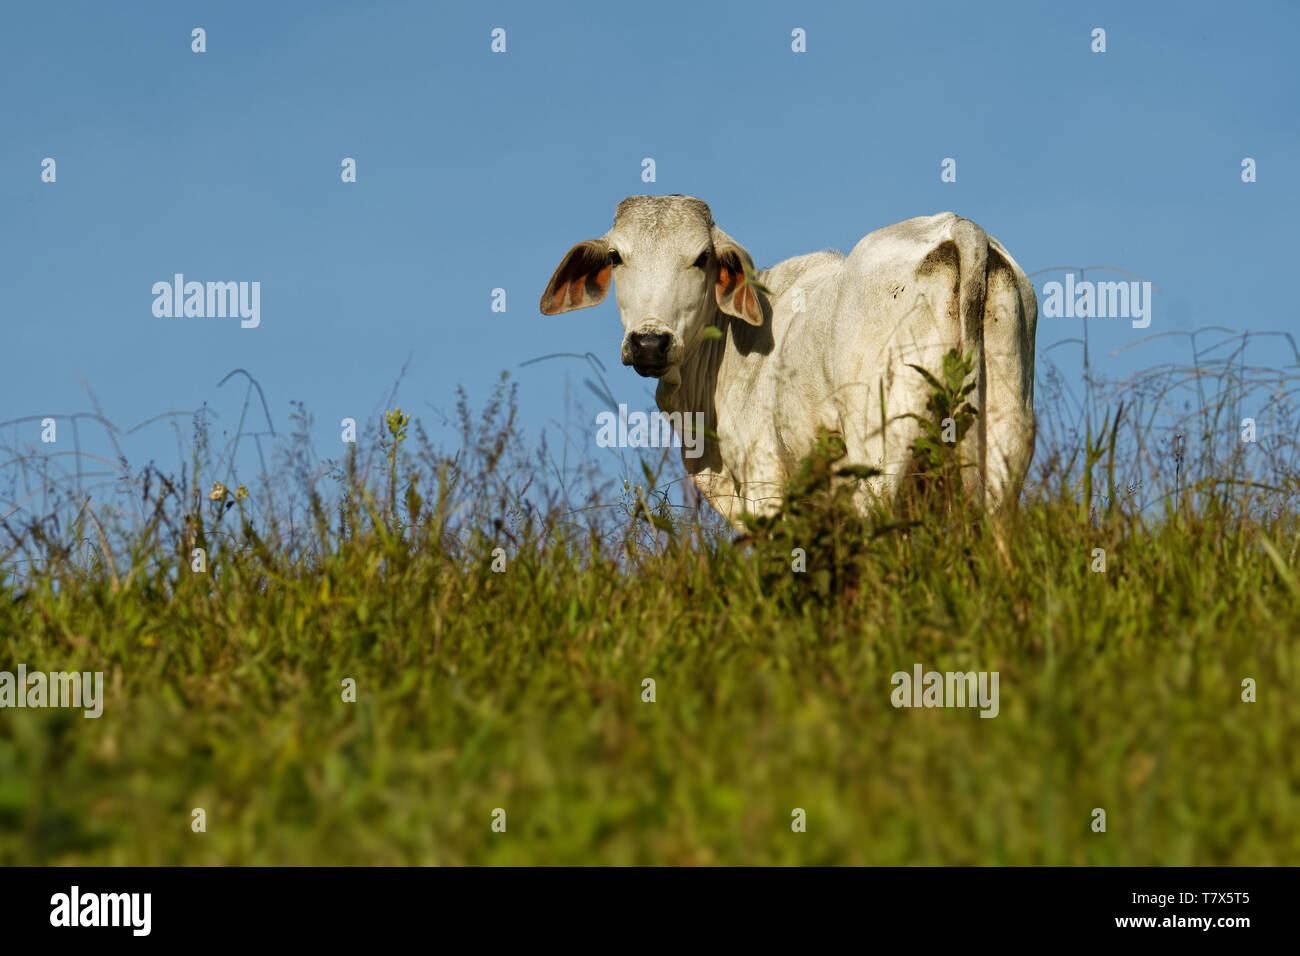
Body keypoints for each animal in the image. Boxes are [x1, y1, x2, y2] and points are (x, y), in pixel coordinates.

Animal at [540, 195, 1037, 527]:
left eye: (701, 258)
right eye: (615, 256)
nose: (648, 343)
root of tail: (957, 227)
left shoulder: (764, 482)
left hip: (882, 446)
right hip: (1007, 437)